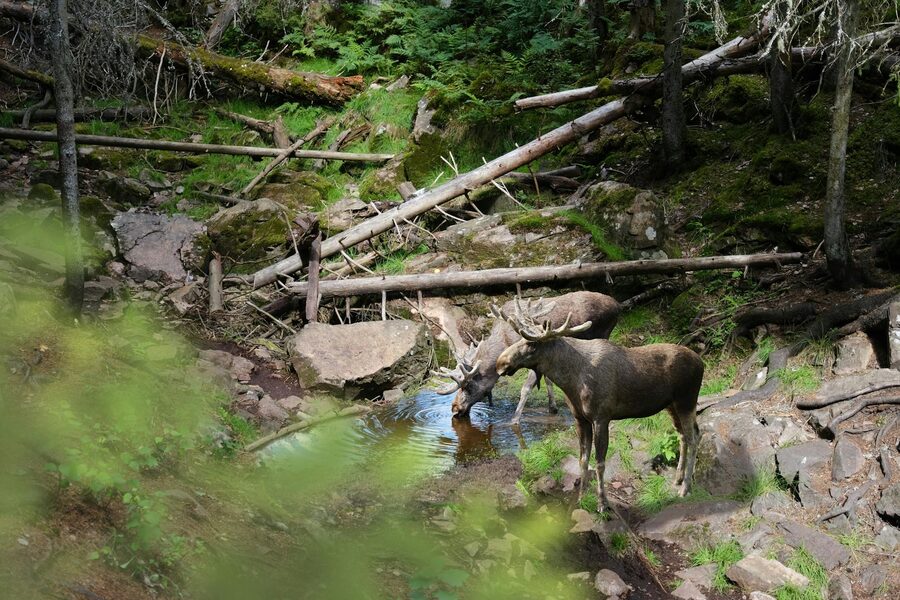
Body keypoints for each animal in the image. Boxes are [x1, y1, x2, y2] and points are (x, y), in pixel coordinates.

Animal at [435, 292, 620, 425]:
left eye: (469, 386)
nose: (455, 409)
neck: (505, 340)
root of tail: (617, 305)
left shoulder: (533, 357)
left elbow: (525, 388)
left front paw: (514, 420)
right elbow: (548, 380)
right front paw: (552, 408)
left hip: (604, 332)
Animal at [493, 300, 704, 511]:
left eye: (532, 344)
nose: (500, 363)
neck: (571, 382)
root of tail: (701, 363)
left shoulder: (601, 417)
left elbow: (600, 462)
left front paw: (602, 503)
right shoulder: (580, 419)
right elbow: (583, 460)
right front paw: (580, 497)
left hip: (687, 400)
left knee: (694, 437)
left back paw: (685, 488)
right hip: (671, 405)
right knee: (684, 435)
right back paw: (678, 478)